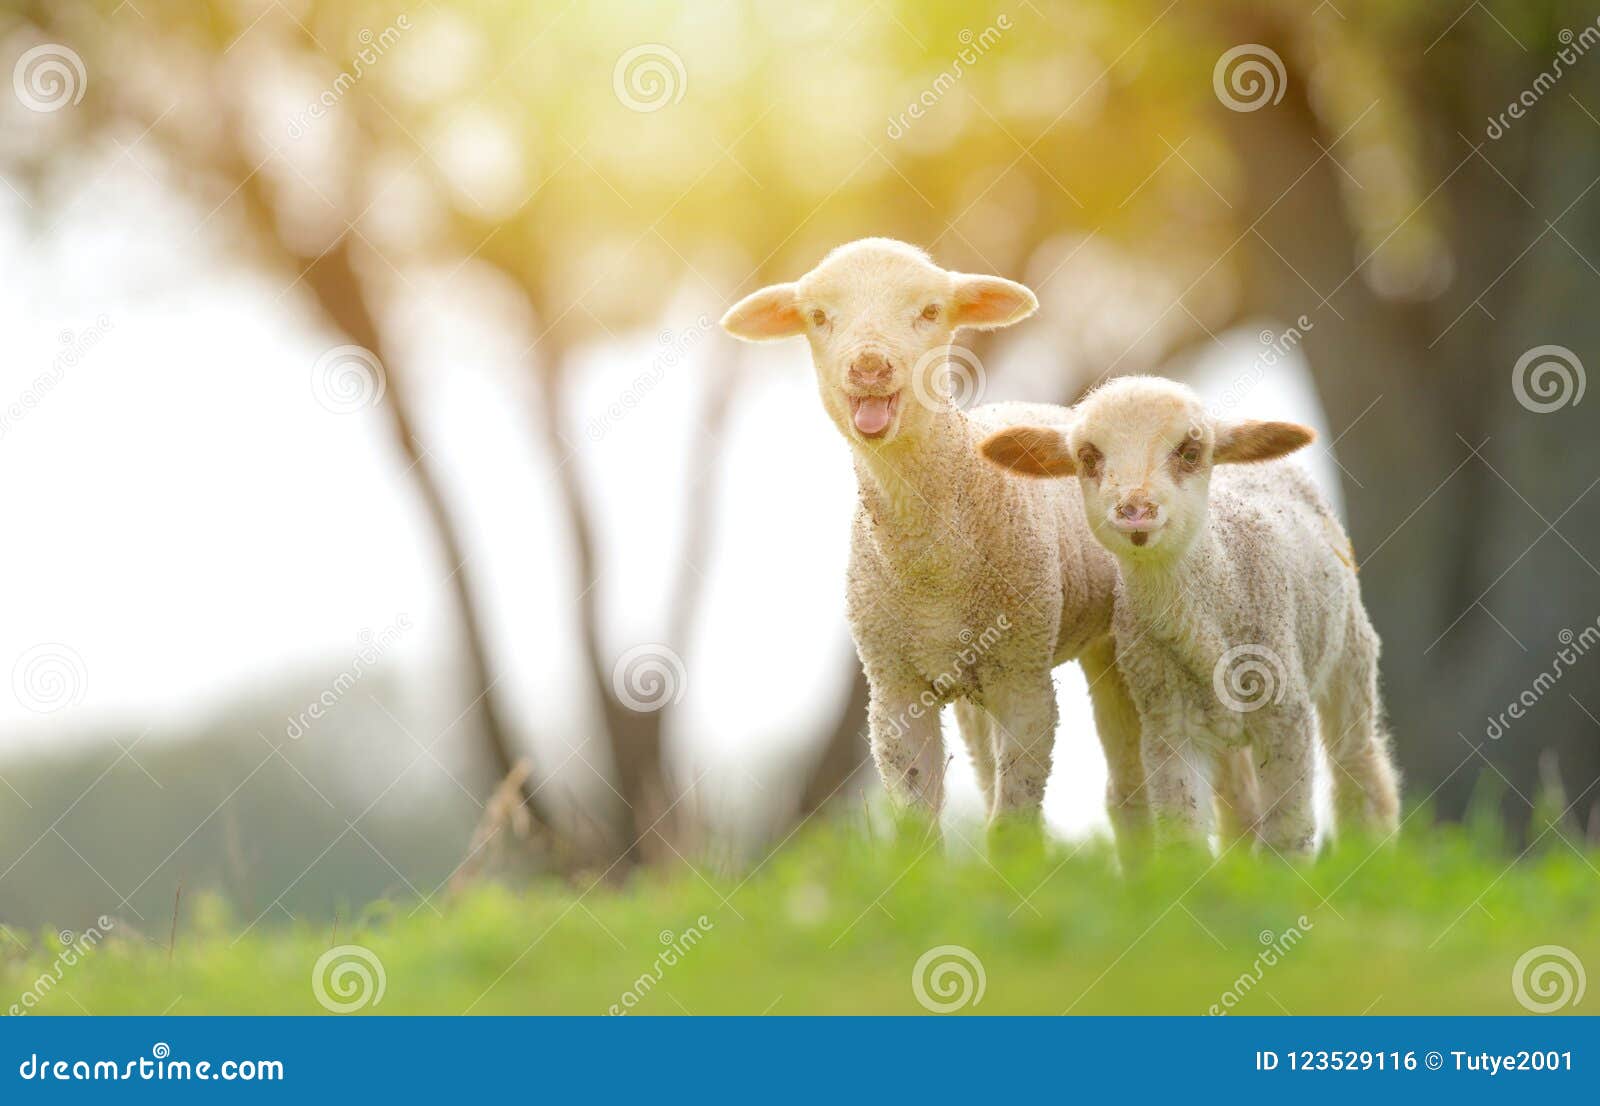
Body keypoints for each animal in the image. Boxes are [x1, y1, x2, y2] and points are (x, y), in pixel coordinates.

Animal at [720, 238, 1147, 847]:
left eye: (928, 311)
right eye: (819, 316)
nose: (869, 366)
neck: (933, 572)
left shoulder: (1024, 677)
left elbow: (1012, 818)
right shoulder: (894, 687)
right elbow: (918, 818)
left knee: (1137, 782)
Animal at [980, 376, 1401, 854]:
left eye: (1189, 451)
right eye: (1087, 456)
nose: (1135, 510)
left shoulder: (1285, 717)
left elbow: (1287, 837)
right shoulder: (1170, 730)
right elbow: (1183, 837)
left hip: (1350, 650)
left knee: (1360, 767)